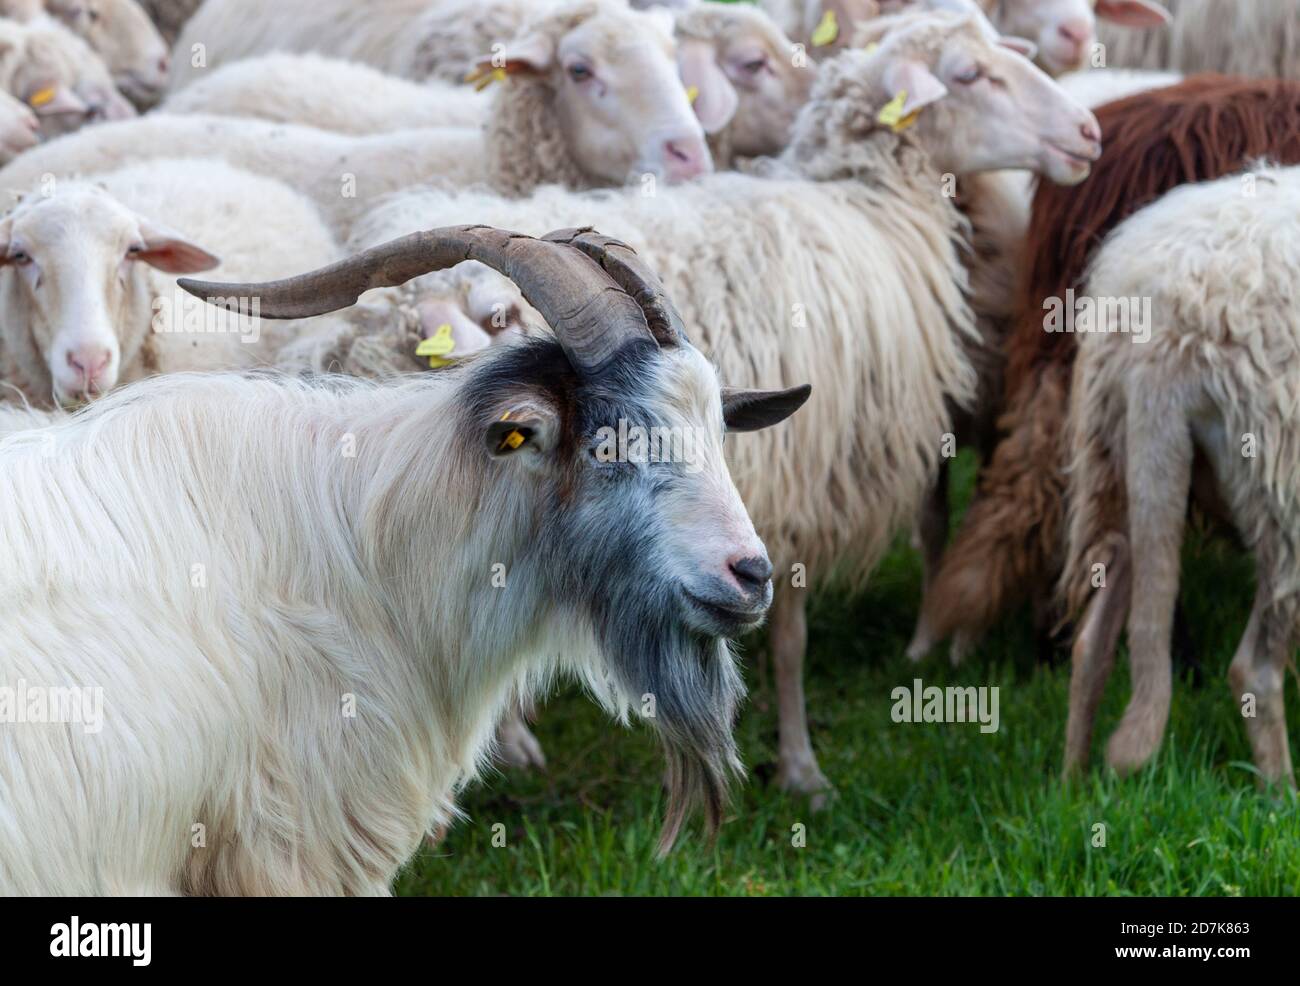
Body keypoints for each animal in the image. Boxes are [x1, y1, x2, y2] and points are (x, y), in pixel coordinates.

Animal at [347, 11, 1103, 795]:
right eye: (969, 74)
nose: (1088, 133)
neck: (870, 204)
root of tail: (394, 319)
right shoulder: (801, 480)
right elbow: (791, 636)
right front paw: (803, 769)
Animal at [1061, 162, 1300, 785]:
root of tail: (1161, 350)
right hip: (1281, 487)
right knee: (1253, 670)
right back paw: (1281, 795)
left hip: (1124, 475)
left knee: (1091, 644)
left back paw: (1072, 786)